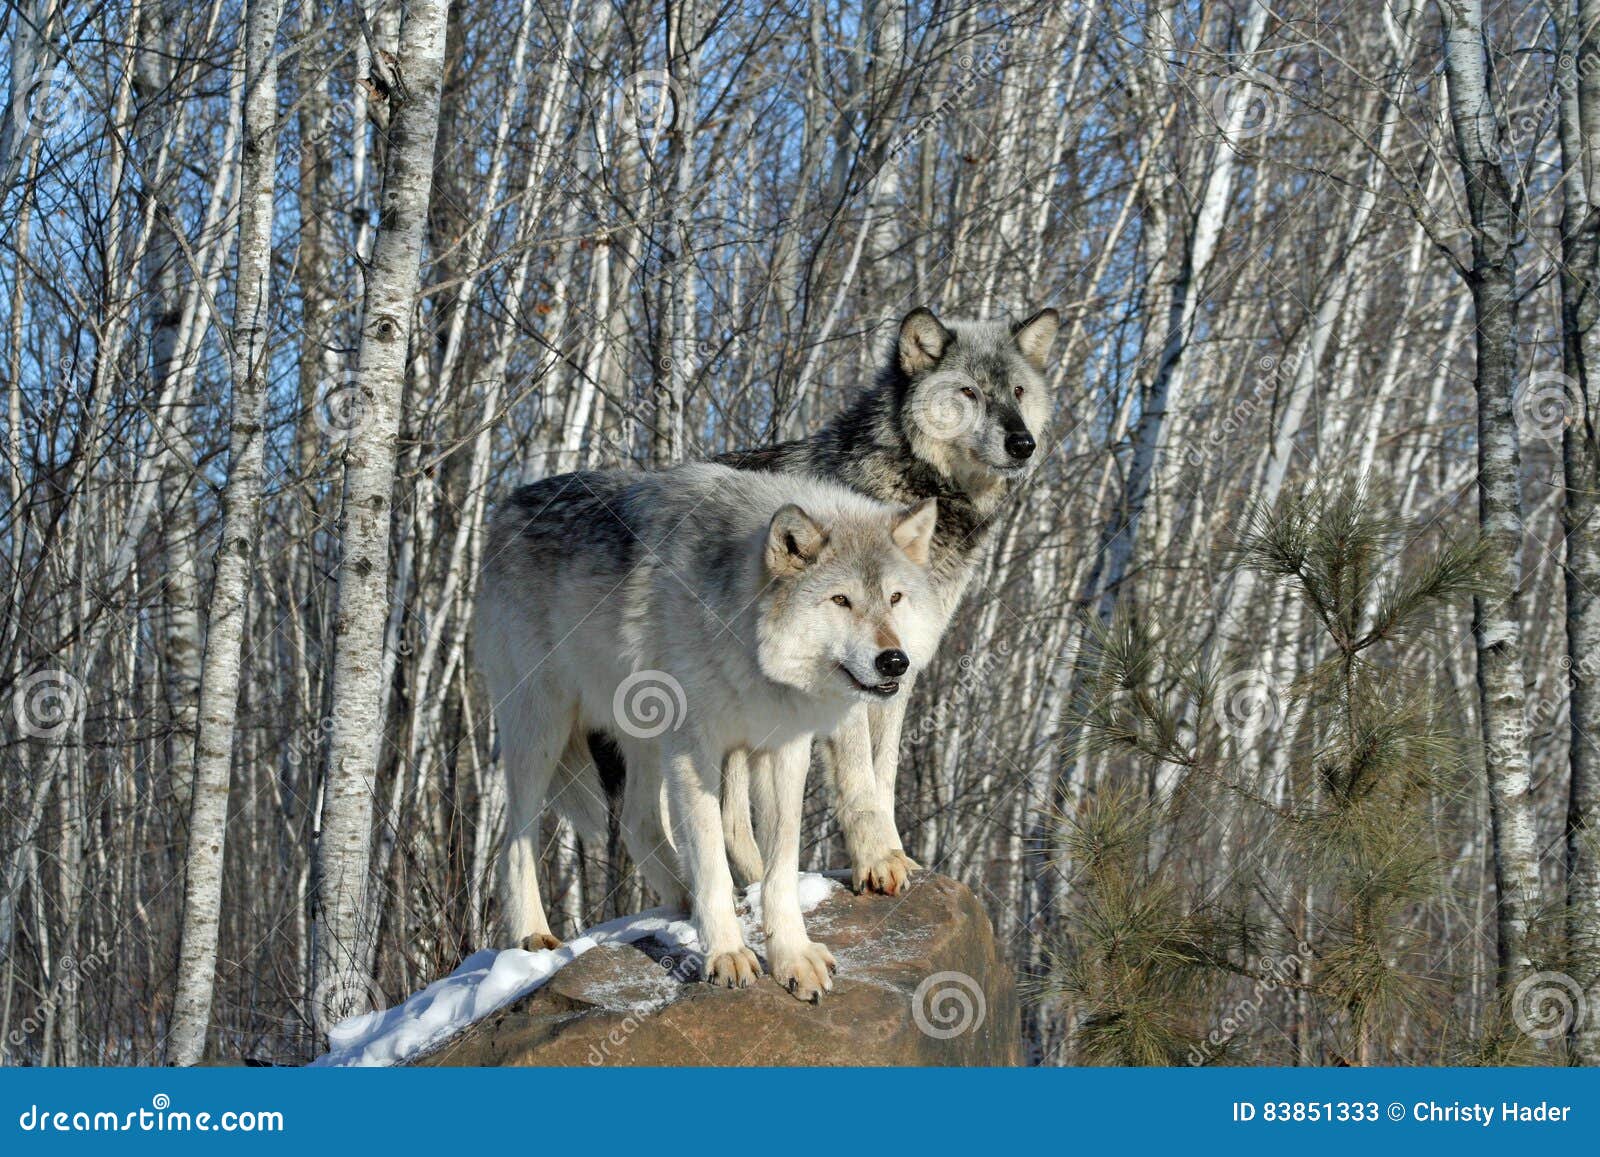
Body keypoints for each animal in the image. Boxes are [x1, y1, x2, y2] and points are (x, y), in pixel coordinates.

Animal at [475, 462, 939, 998]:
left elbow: (780, 866)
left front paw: (792, 957)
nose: (895, 661)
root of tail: (505, 507)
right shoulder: (693, 751)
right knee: (515, 841)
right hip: (542, 728)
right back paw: (533, 934)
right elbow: (713, 858)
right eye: (841, 599)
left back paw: (683, 896)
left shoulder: (783, 749)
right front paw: (728, 954)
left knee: (635, 821)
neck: (739, 629)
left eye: (895, 598)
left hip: (644, 742)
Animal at [583, 306, 1060, 895]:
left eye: (1018, 390)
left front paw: (897, 855)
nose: (1023, 443)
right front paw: (876, 861)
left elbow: (884, 774)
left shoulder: (898, 668)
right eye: (969, 392)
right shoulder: (844, 674)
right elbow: (858, 777)